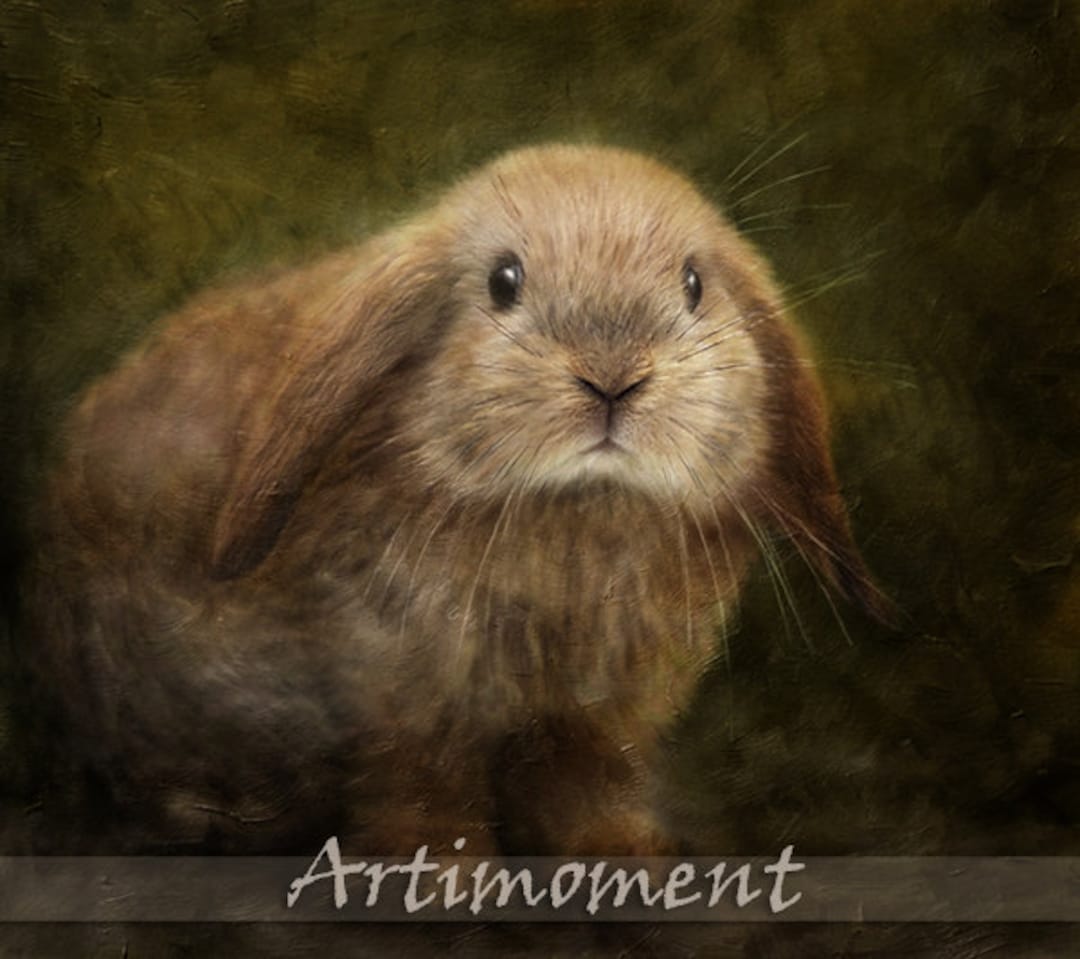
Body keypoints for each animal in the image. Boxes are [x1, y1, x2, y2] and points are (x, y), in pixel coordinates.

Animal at [24, 143, 890, 857]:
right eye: (502, 281)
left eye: (694, 283)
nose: (612, 377)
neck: (571, 518)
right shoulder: (403, 687)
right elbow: (423, 778)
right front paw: (441, 873)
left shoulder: (604, 705)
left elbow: (591, 777)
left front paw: (624, 855)